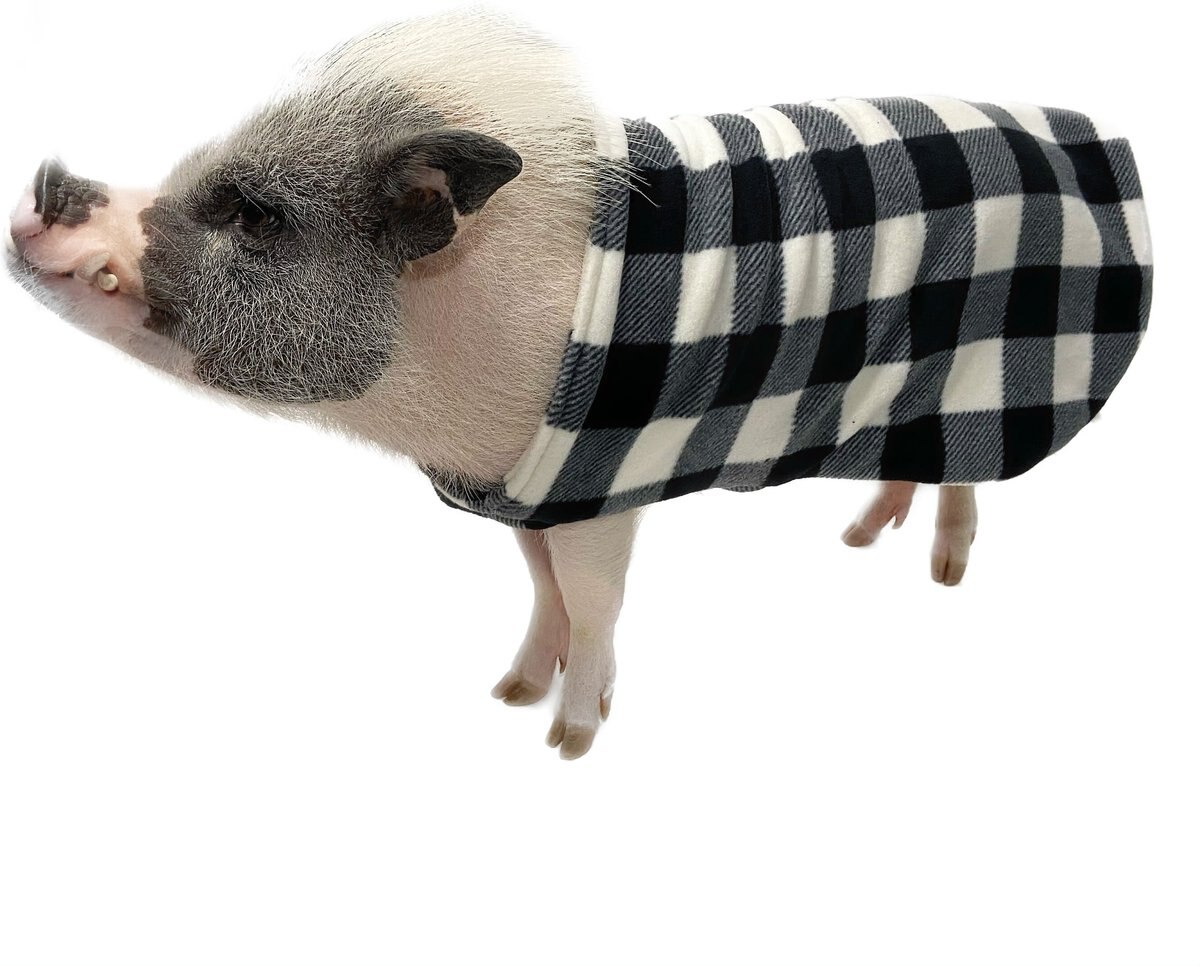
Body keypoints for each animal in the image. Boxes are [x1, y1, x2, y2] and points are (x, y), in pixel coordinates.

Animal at [6, 10, 1151, 758]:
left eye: (255, 216)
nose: (48, 187)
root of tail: (1098, 138)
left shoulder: (604, 486)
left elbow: (595, 603)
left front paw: (566, 741)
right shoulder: (522, 493)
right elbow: (542, 590)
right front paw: (509, 693)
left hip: (984, 387)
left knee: (965, 478)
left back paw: (944, 577)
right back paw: (863, 541)